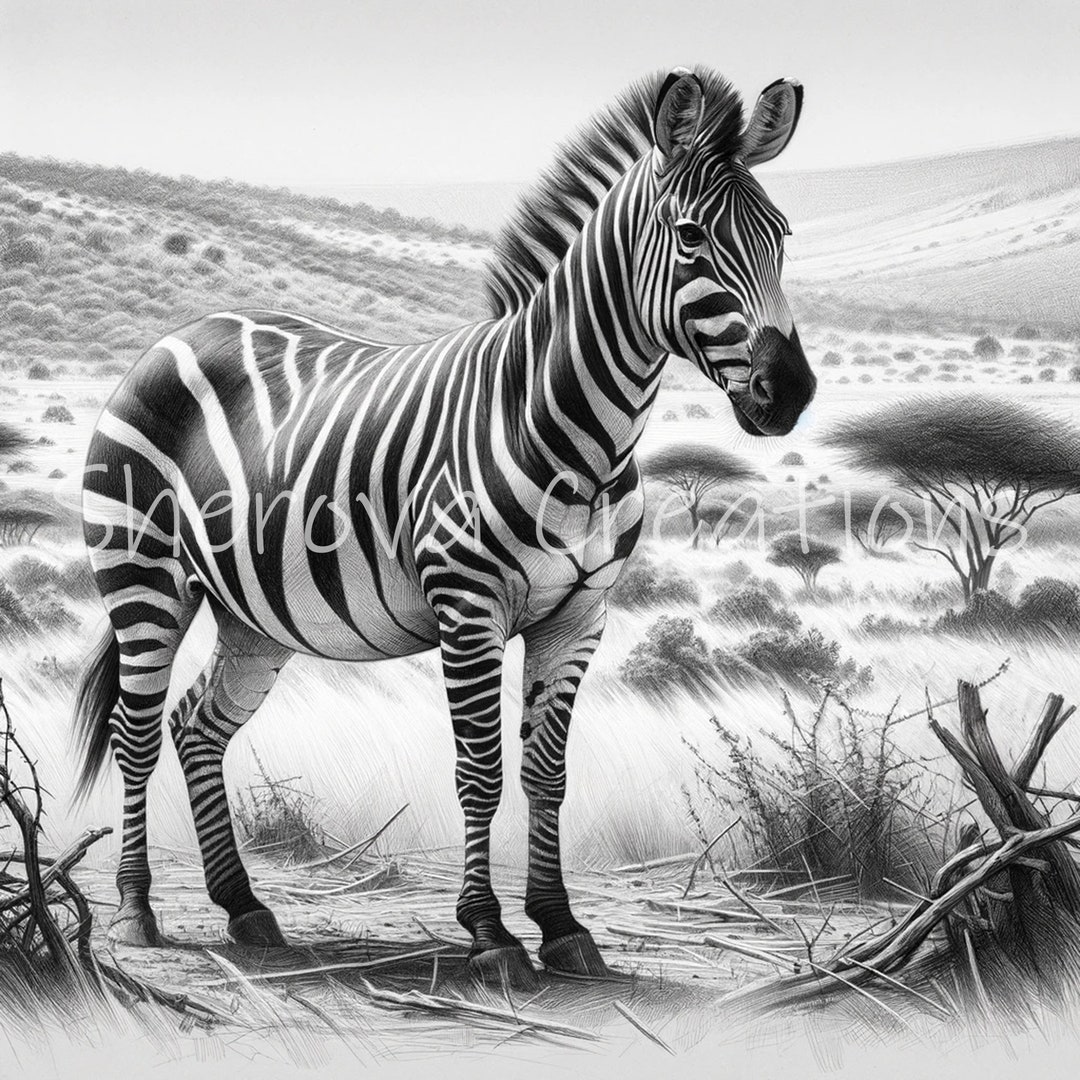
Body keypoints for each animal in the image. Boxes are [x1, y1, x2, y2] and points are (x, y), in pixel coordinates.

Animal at [73, 66, 815, 985]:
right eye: (690, 236)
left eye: (781, 235)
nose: (789, 394)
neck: (573, 429)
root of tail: (177, 333)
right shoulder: (469, 607)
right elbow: (480, 773)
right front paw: (489, 933)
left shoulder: (579, 616)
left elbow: (546, 774)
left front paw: (561, 925)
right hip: (144, 579)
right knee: (136, 733)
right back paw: (135, 909)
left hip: (252, 613)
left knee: (195, 728)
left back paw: (244, 906)